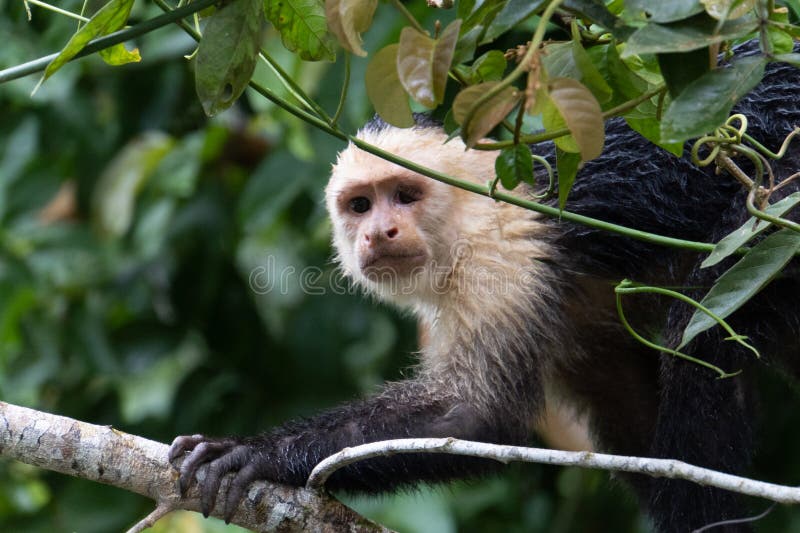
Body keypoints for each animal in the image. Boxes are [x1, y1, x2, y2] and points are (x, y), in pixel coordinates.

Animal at [169, 45, 800, 532]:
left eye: (405, 195)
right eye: (360, 205)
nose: (379, 232)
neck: (473, 211)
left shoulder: (500, 256)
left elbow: (475, 416)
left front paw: (258, 455)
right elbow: (619, 415)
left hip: (782, 203)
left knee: (710, 304)